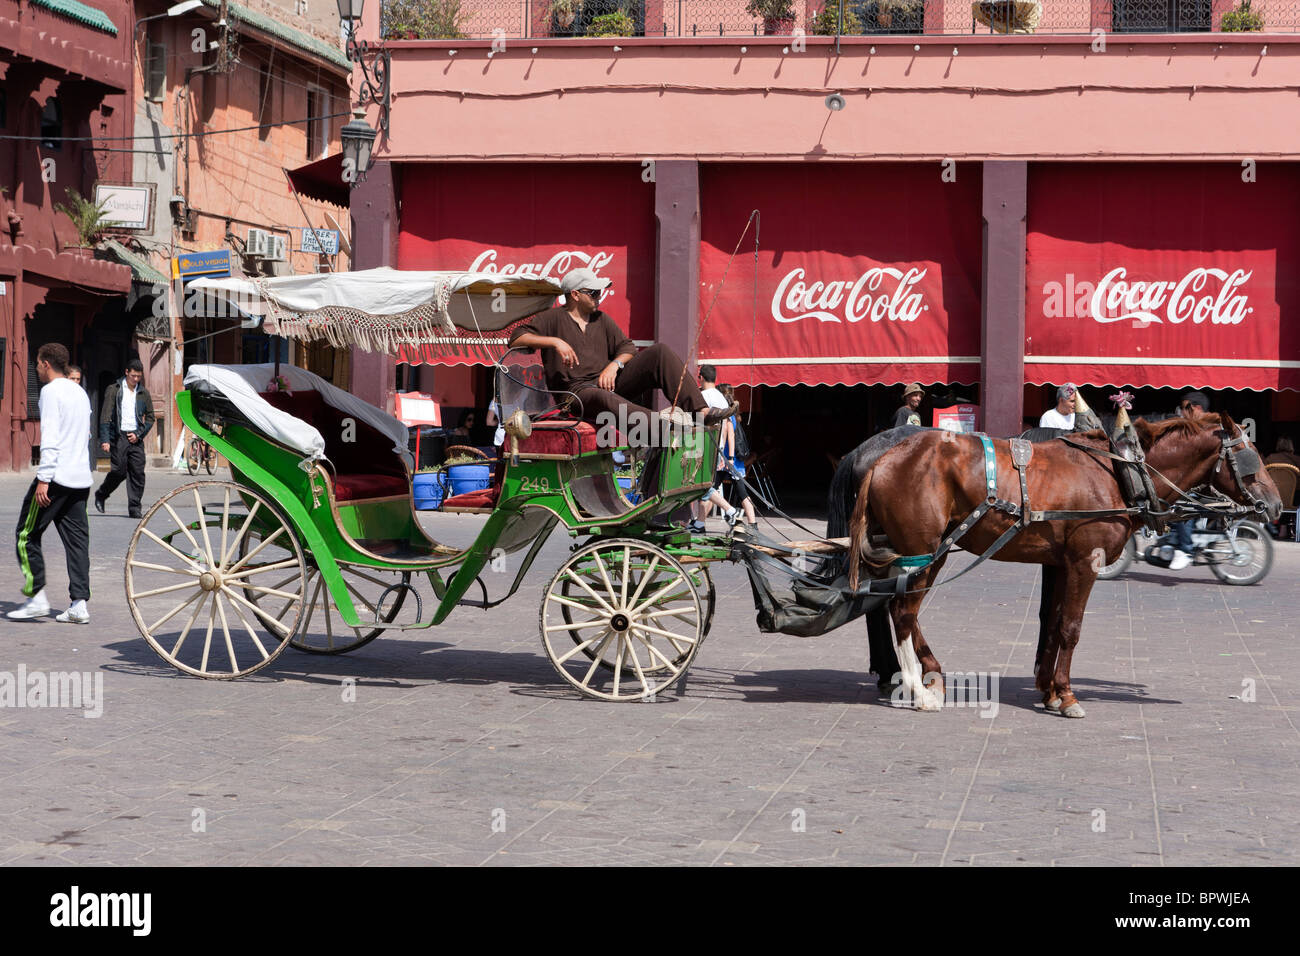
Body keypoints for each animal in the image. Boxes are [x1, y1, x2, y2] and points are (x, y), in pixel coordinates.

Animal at [846, 412, 1282, 717]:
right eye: (1251, 457)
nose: (1275, 505)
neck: (1120, 473)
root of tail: (882, 460)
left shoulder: (1059, 563)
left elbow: (1053, 623)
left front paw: (1050, 691)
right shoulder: (1085, 562)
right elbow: (1071, 628)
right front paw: (1068, 696)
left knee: (894, 606)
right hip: (924, 549)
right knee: (903, 611)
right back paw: (917, 690)